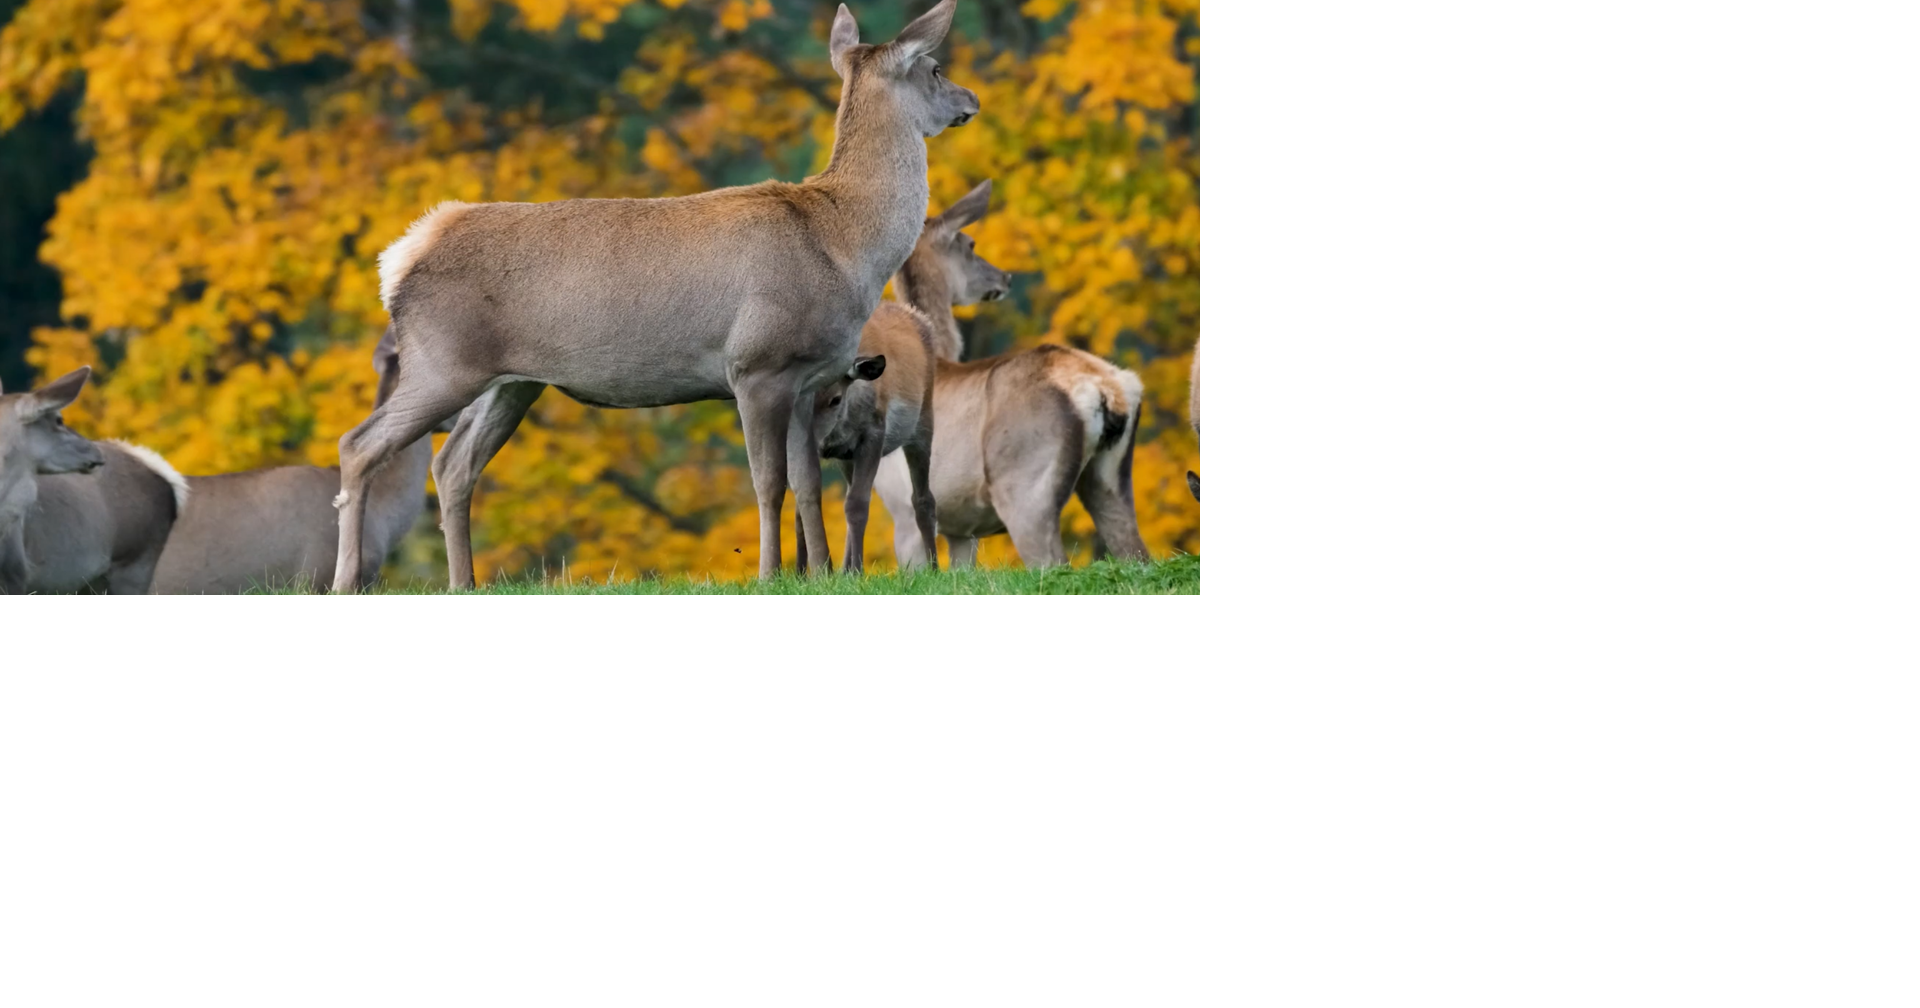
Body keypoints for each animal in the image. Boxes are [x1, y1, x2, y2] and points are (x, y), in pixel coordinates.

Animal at [350, 0, 978, 592]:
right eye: (935, 68)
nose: (970, 99)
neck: (844, 243)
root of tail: (400, 255)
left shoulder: (812, 379)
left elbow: (806, 482)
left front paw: (822, 574)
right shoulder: (756, 364)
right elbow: (768, 481)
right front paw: (769, 574)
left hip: (510, 383)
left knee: (452, 465)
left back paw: (464, 580)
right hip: (442, 362)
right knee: (359, 445)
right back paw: (346, 577)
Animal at [870, 179, 1151, 568]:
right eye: (971, 244)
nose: (1005, 277)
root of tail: (1108, 389)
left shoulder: (903, 510)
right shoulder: (963, 529)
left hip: (1022, 485)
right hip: (1110, 479)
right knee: (1138, 553)